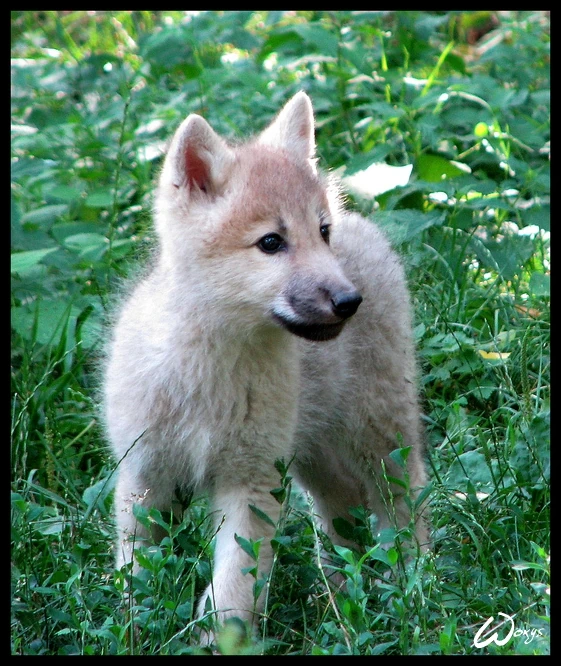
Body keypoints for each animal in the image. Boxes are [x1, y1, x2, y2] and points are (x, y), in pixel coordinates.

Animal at [102, 91, 429, 635]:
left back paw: (414, 587)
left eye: (321, 232)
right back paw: (339, 596)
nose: (349, 301)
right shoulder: (145, 476)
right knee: (341, 513)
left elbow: (234, 587)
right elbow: (140, 574)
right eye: (271, 242)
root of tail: (361, 222)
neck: (207, 373)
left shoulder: (251, 482)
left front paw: (223, 639)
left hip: (377, 436)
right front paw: (136, 629)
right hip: (314, 454)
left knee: (403, 504)